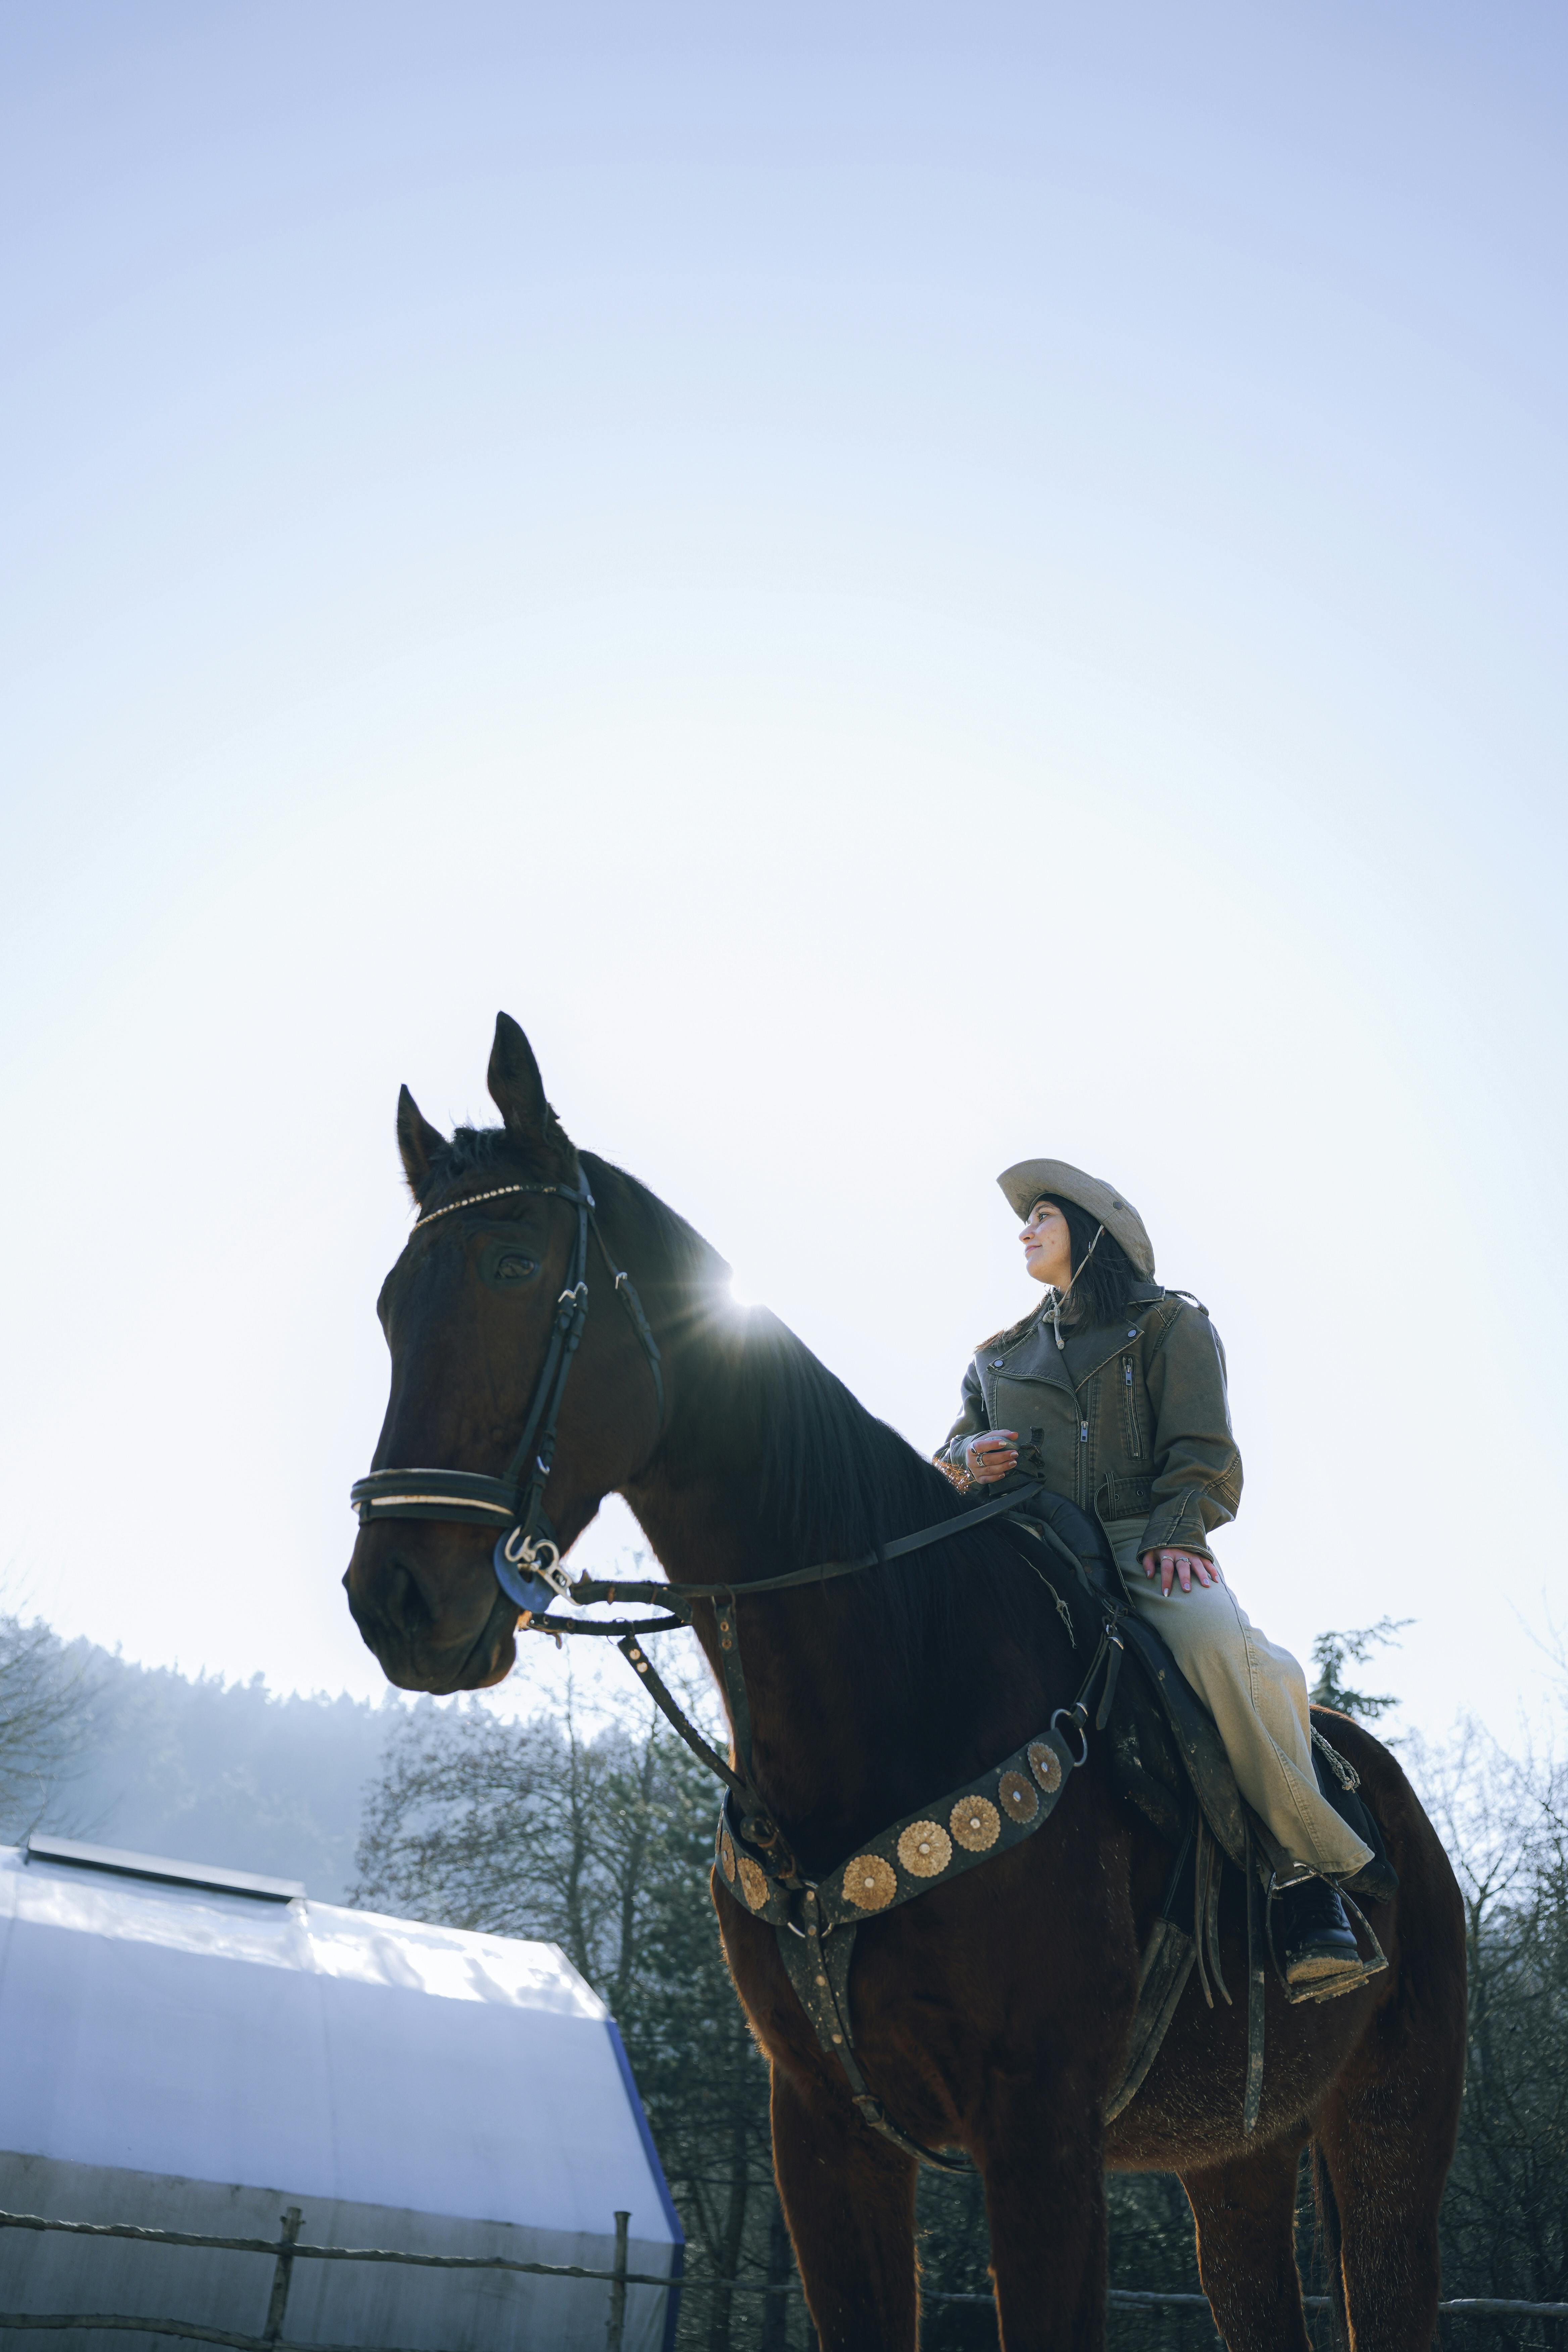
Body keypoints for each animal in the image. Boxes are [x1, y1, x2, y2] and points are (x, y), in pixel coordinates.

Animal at [343, 1014, 1467, 2352]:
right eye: (390, 1302)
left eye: (515, 1268)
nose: (394, 1601)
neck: (891, 1689)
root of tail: (1387, 1801)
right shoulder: (824, 2133)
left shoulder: (1039, 2135)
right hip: (1236, 2162)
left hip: (1388, 2136)